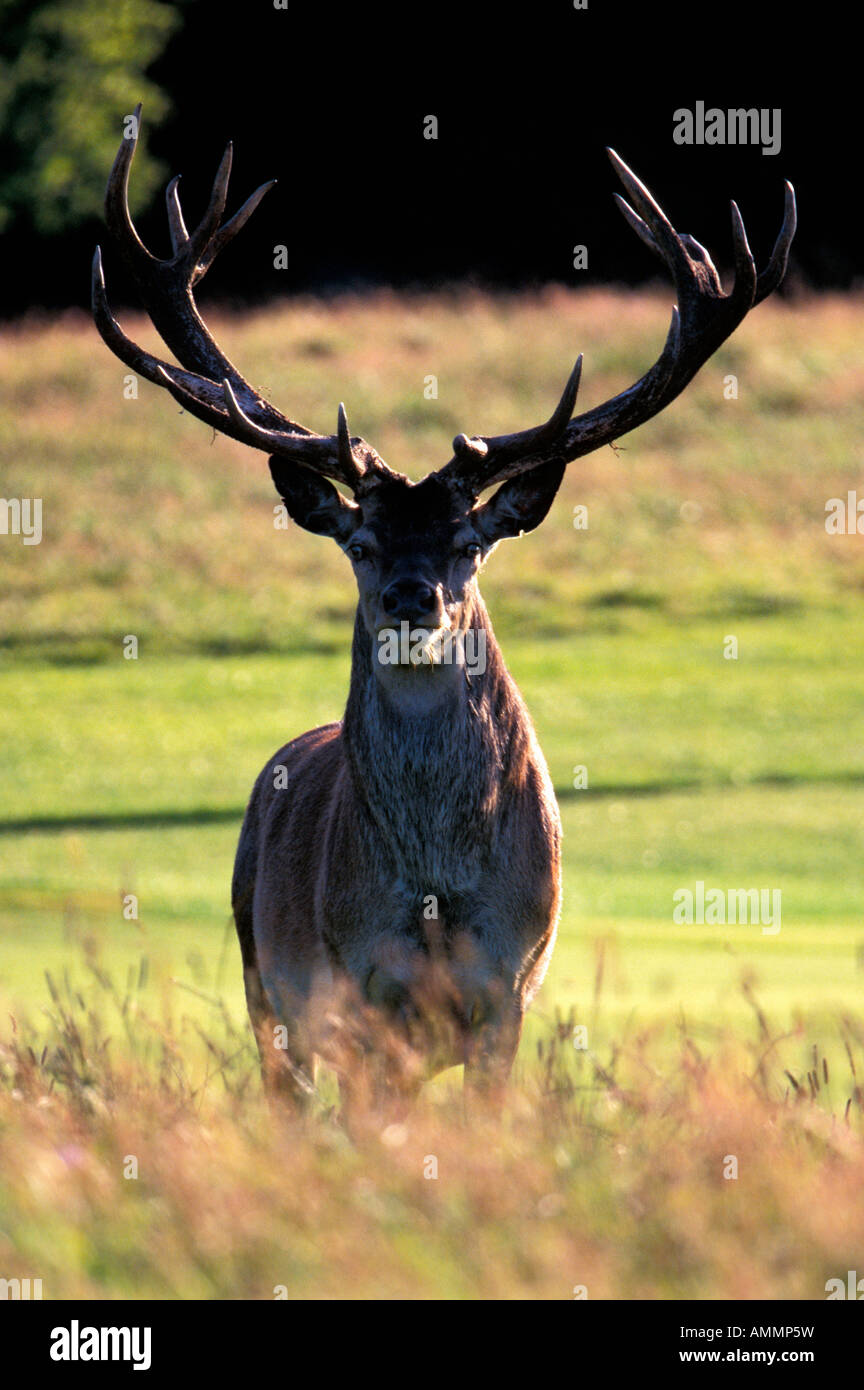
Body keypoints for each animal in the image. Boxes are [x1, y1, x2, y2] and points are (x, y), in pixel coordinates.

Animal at [93, 107, 796, 1108]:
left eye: (468, 542)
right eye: (360, 543)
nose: (410, 594)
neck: (432, 897)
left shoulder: (508, 989)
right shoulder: (355, 993)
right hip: (262, 981)